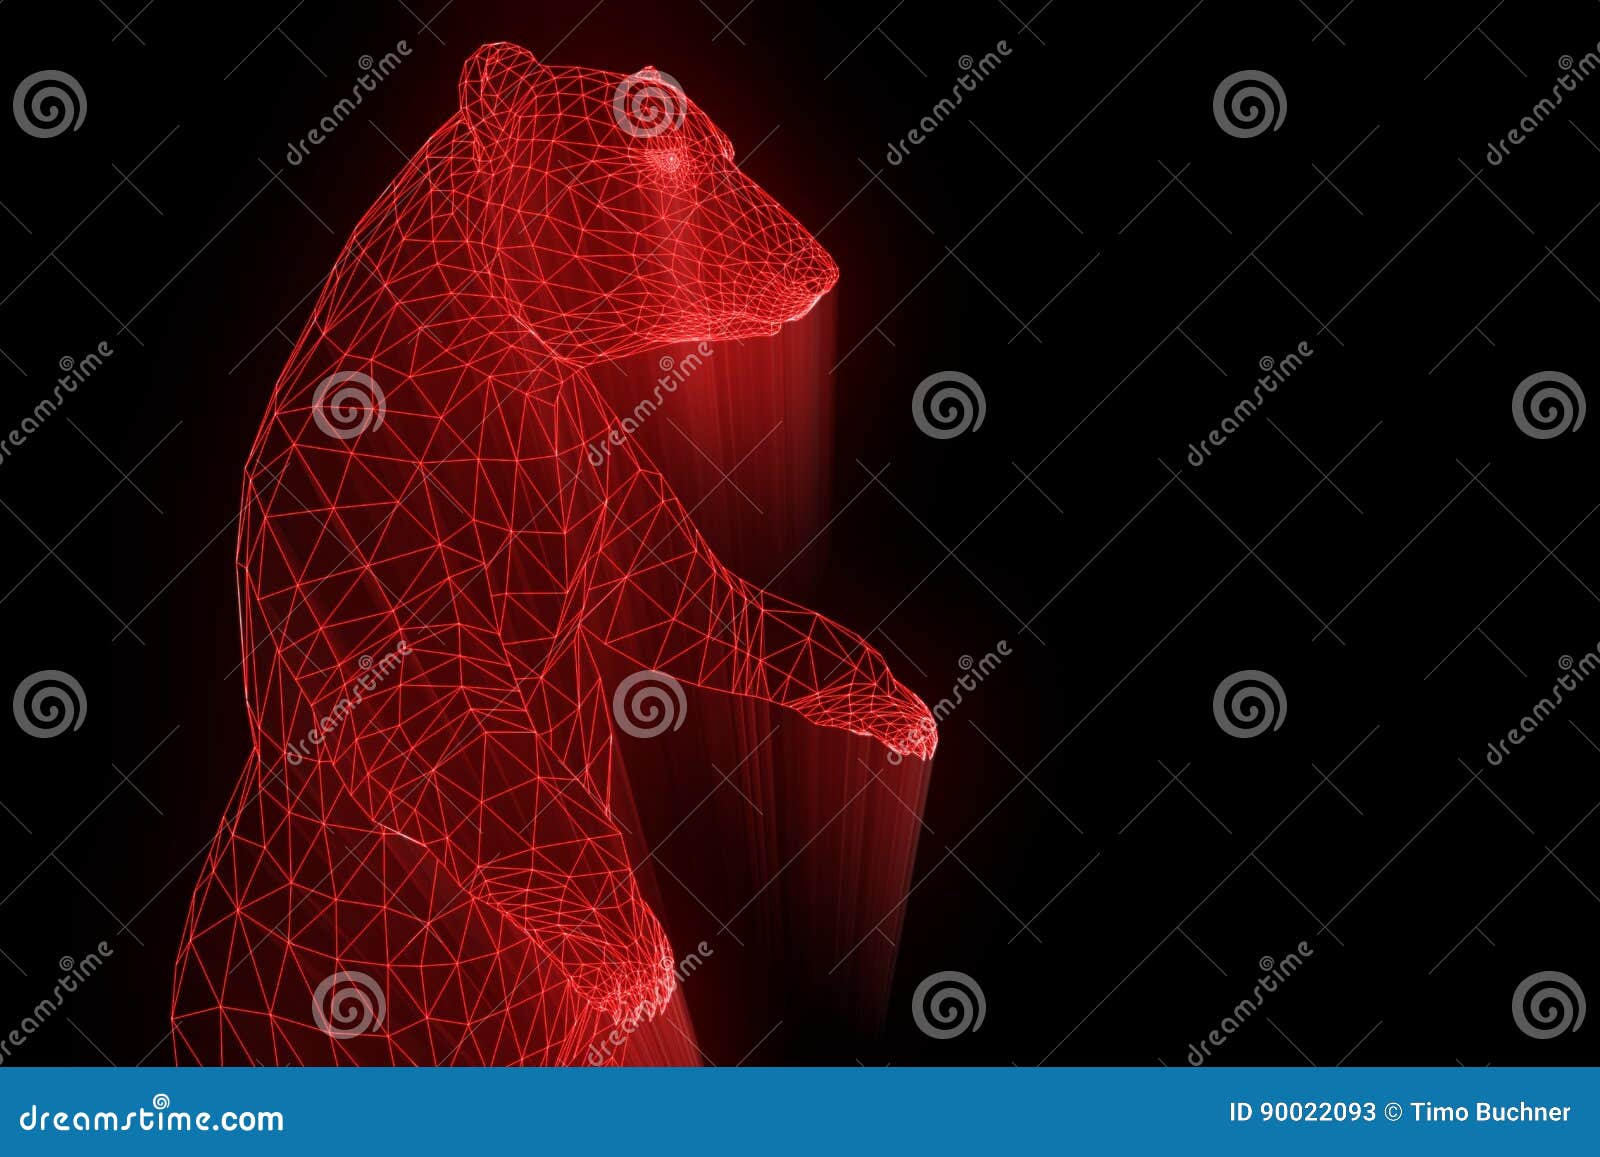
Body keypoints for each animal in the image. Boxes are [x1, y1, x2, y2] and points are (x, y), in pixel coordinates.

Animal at [171, 42, 937, 1066]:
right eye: (666, 158)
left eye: (724, 148)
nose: (816, 268)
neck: (496, 363)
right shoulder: (368, 541)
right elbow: (457, 727)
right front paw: (635, 965)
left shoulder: (588, 478)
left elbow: (694, 602)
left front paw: (898, 713)